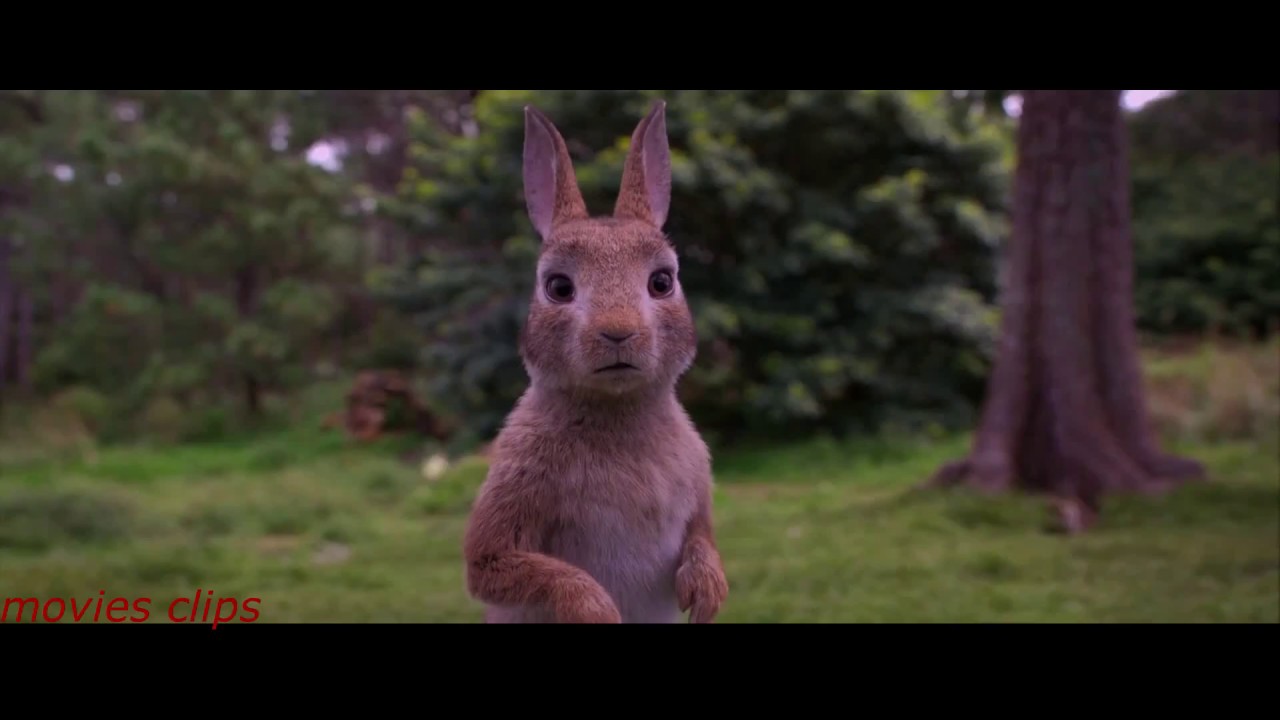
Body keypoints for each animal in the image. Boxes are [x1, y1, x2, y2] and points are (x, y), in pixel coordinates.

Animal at [461, 100, 729, 624]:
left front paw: (706, 593)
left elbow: (702, 539)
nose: (618, 332)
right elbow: (497, 563)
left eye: (662, 282)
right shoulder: (508, 506)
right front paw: (598, 610)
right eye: (558, 287)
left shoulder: (698, 495)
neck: (616, 410)